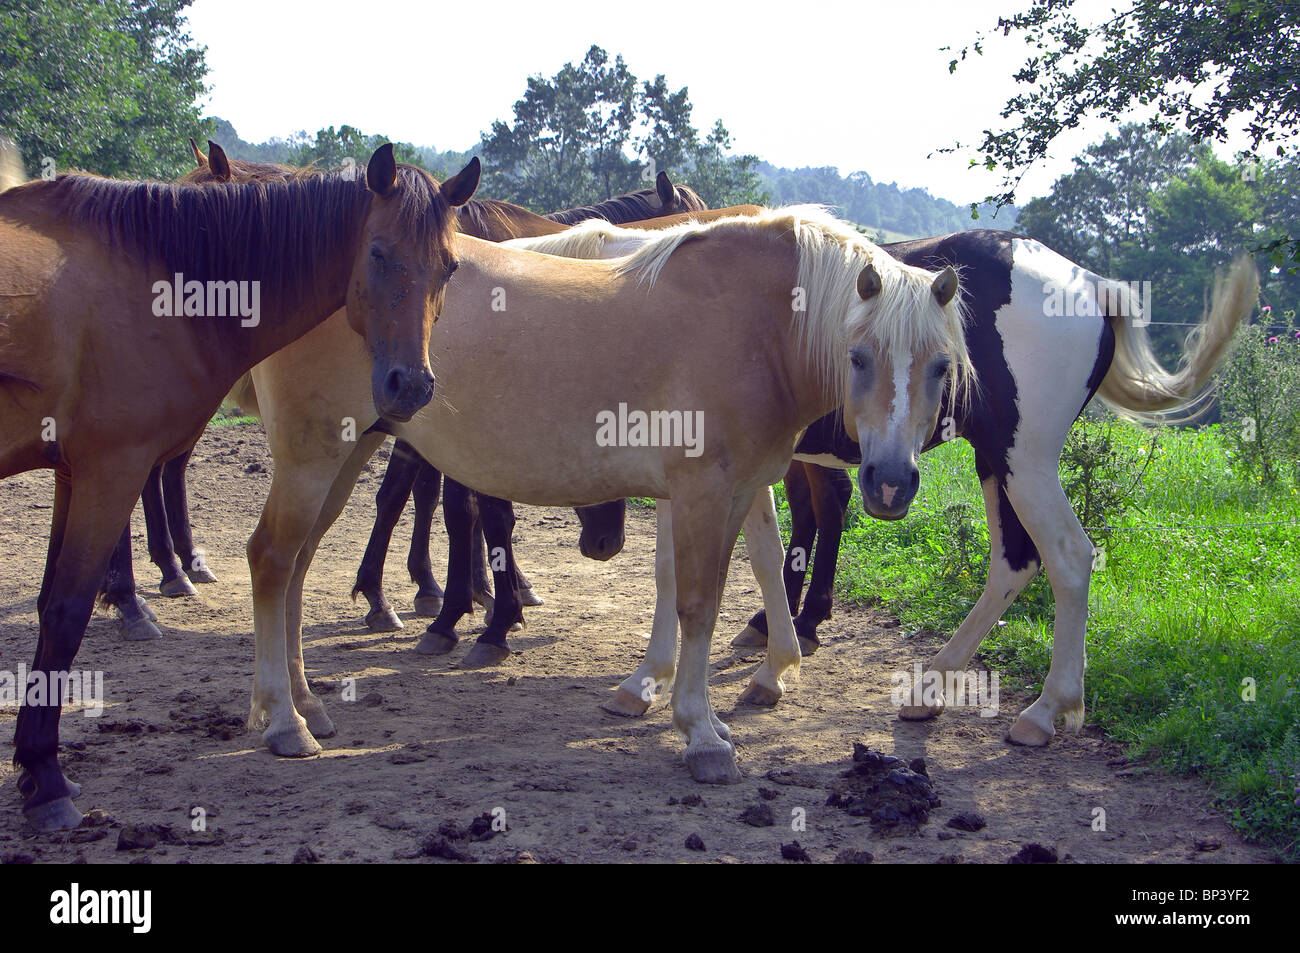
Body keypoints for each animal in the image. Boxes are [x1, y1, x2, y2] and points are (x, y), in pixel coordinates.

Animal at [0, 140, 478, 830]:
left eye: (449, 267)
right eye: (378, 254)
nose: (409, 385)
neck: (154, 273)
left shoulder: (73, 470)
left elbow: (47, 606)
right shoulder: (109, 467)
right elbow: (66, 613)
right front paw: (46, 777)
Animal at [241, 205, 970, 786]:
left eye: (940, 366)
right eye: (859, 357)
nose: (891, 482)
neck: (757, 324)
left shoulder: (727, 491)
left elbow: (710, 581)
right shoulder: (703, 490)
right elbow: (698, 602)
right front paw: (701, 732)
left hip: (346, 454)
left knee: (297, 568)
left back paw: (307, 706)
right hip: (313, 457)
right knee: (272, 559)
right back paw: (284, 722)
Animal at [522, 219, 1258, 744]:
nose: (597, 545)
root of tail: (1092, 285)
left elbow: (684, 571)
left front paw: (651, 680)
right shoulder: (735, 475)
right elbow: (756, 556)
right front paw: (772, 665)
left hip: (1022, 461)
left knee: (1069, 559)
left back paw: (1048, 710)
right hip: (998, 462)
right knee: (1014, 561)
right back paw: (932, 689)